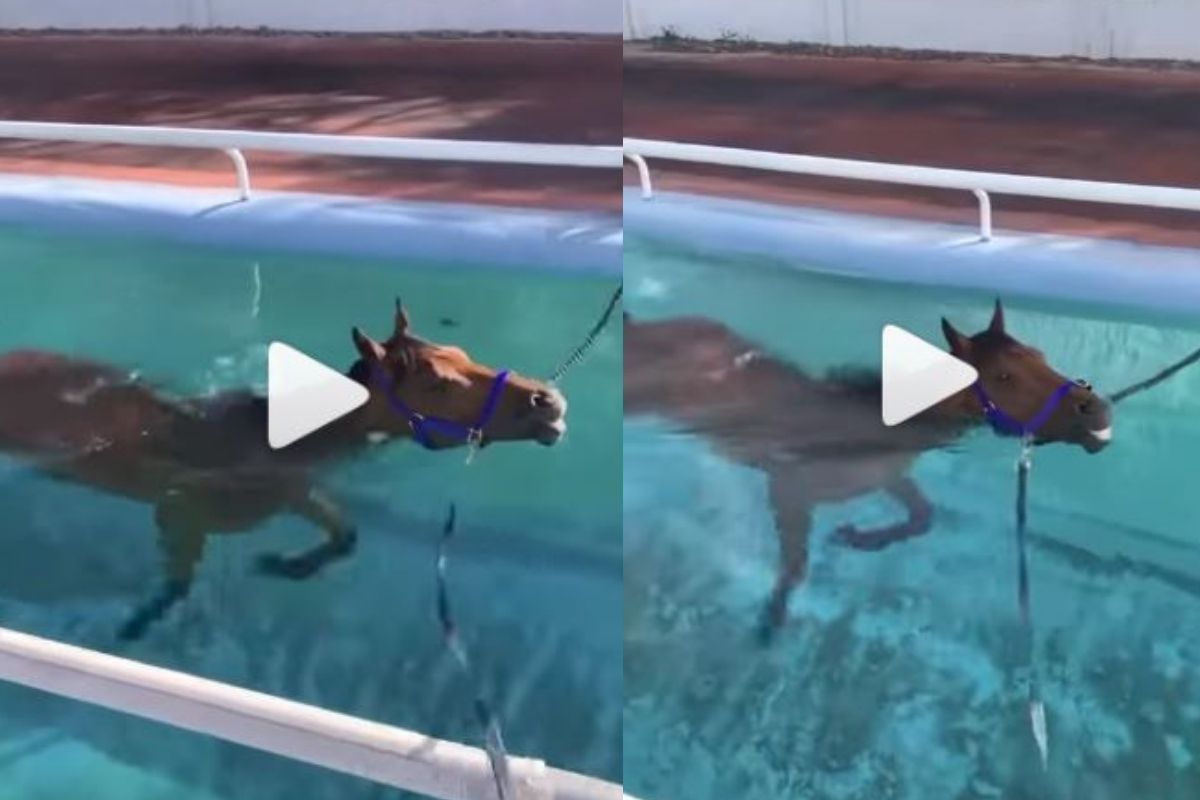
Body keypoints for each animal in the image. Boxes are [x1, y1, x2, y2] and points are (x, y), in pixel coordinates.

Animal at [0, 299, 568, 641]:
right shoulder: (181, 508)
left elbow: (345, 535)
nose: (549, 402)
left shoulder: (296, 493)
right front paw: (136, 625)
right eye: (438, 382)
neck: (279, 439)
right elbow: (177, 583)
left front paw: (281, 564)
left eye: (463, 352)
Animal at [624, 300, 1113, 642]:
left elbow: (922, 517)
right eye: (1005, 376)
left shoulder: (889, 478)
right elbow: (796, 568)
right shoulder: (789, 488)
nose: (1095, 409)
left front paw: (857, 539)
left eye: (1040, 354)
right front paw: (770, 620)